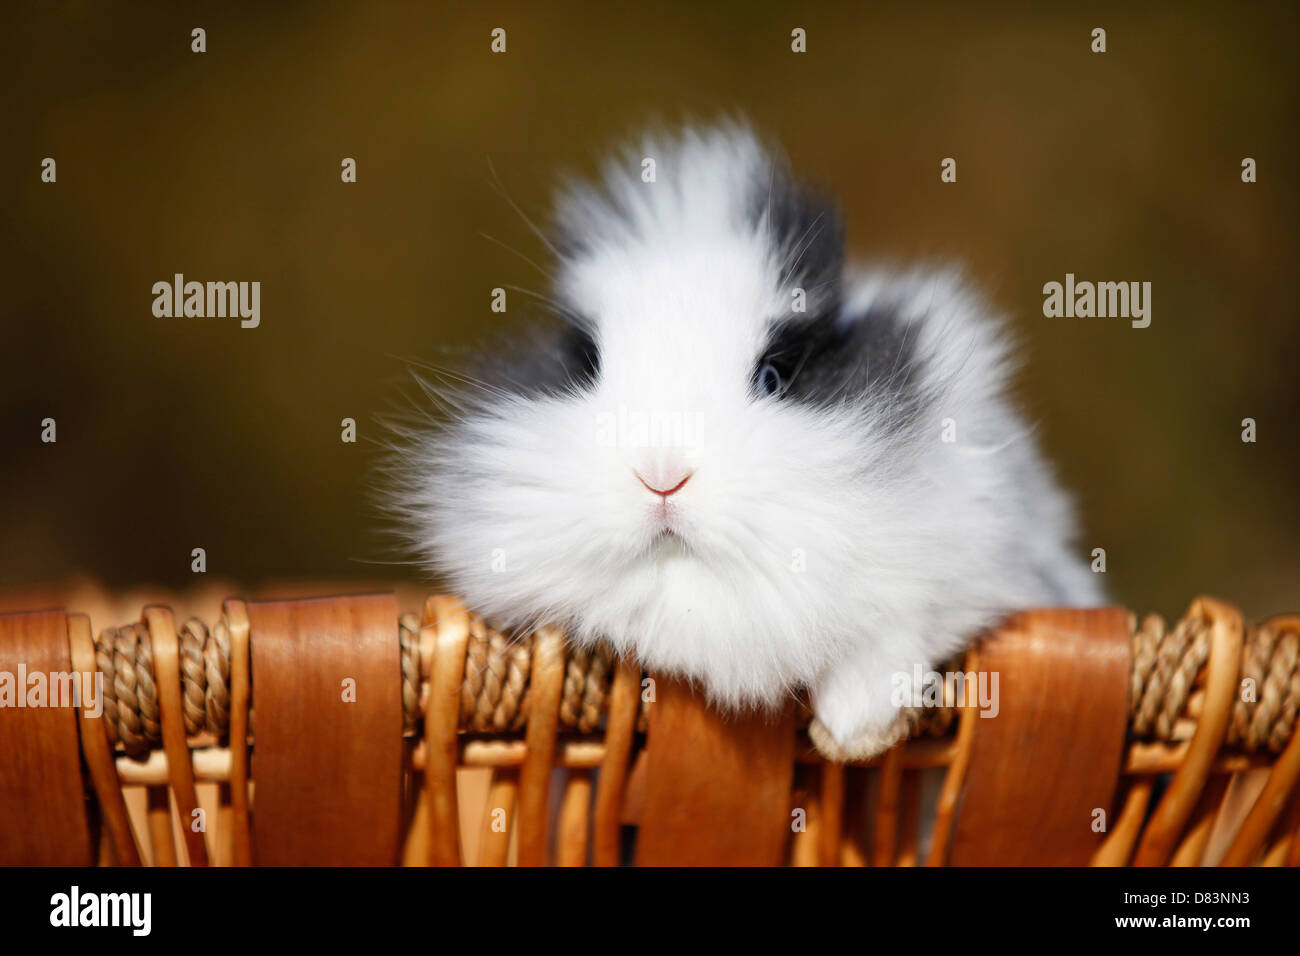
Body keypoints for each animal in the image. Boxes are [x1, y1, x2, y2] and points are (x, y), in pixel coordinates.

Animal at [386, 121, 1105, 760]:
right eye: (587, 363)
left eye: (773, 375)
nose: (662, 474)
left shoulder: (979, 555)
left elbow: (897, 635)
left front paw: (852, 734)